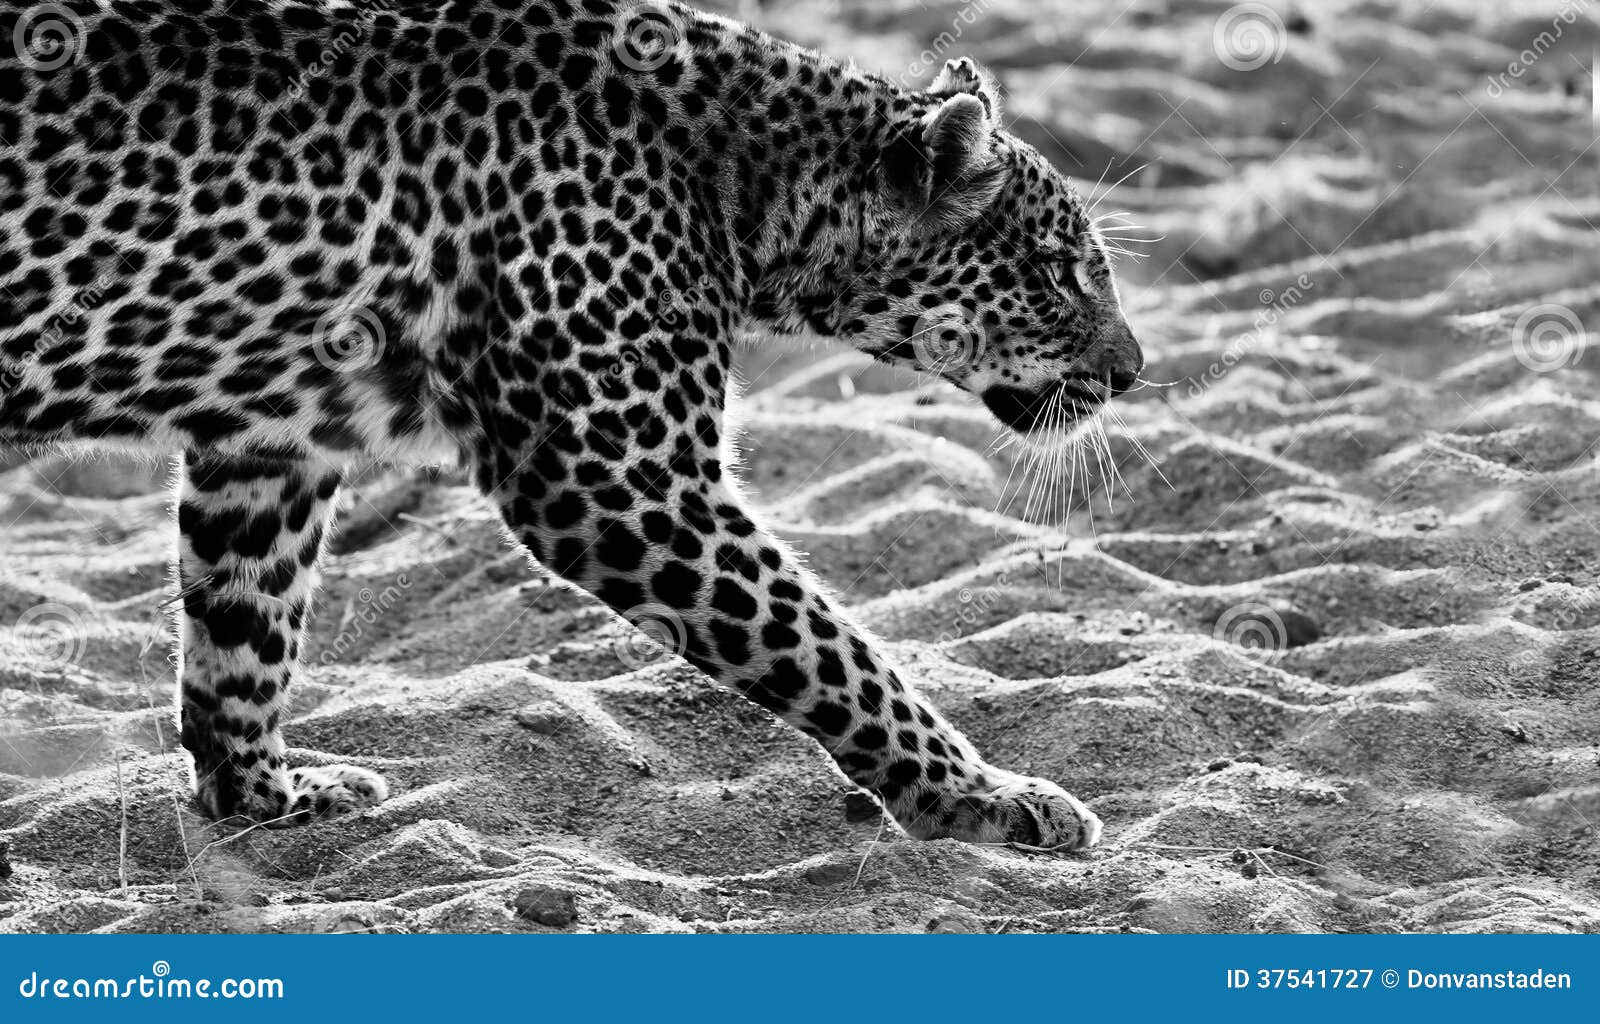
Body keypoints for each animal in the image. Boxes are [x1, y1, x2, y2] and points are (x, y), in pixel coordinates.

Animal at [0, 0, 1143, 851]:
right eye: (1057, 273)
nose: (1133, 372)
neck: (751, 187)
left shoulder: (272, 441)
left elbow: (246, 628)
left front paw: (263, 799)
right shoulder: (619, 477)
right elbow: (831, 650)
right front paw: (982, 799)